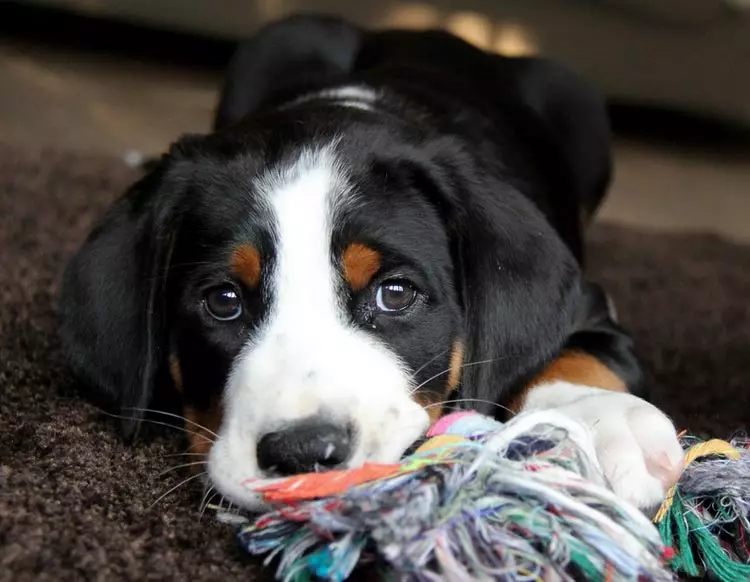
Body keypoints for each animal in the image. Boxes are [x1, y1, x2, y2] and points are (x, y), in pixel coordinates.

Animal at [60, 16, 688, 512]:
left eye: (395, 293)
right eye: (223, 301)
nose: (303, 451)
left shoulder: (589, 304)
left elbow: (568, 353)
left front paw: (595, 419)